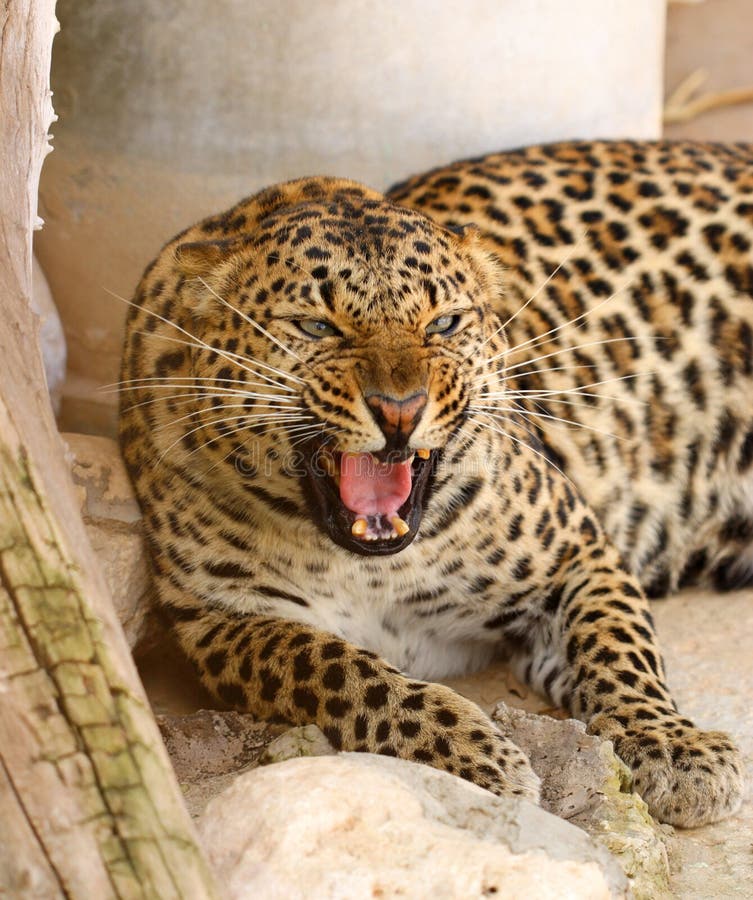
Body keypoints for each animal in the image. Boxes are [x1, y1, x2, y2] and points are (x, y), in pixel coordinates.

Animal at [119, 139, 753, 829]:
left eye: (444, 324)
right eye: (317, 328)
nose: (400, 409)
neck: (371, 566)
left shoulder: (579, 554)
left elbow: (617, 644)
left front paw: (670, 745)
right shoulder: (220, 618)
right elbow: (334, 667)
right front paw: (475, 751)